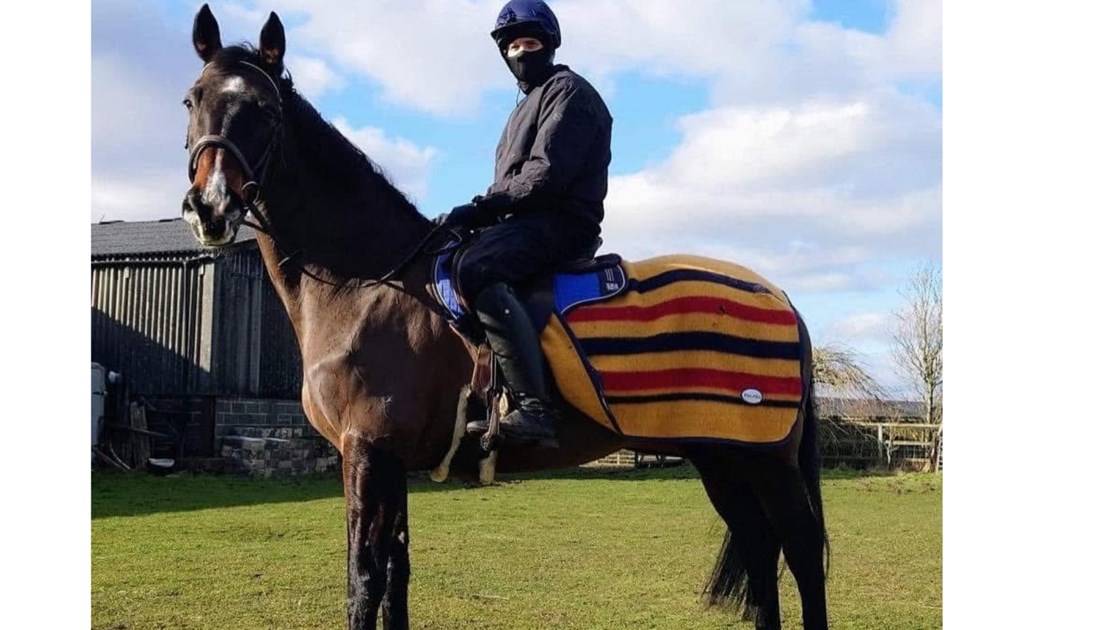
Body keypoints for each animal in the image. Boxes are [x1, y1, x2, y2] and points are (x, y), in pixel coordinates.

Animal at [179, 5, 828, 629]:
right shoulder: (391, 463)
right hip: (723, 459)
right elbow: (394, 577)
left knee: (800, 550)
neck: (369, 285)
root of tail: (780, 298)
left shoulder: (367, 454)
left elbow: (363, 583)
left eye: (264, 109)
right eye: (192, 99)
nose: (209, 207)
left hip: (766, 461)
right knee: (760, 547)